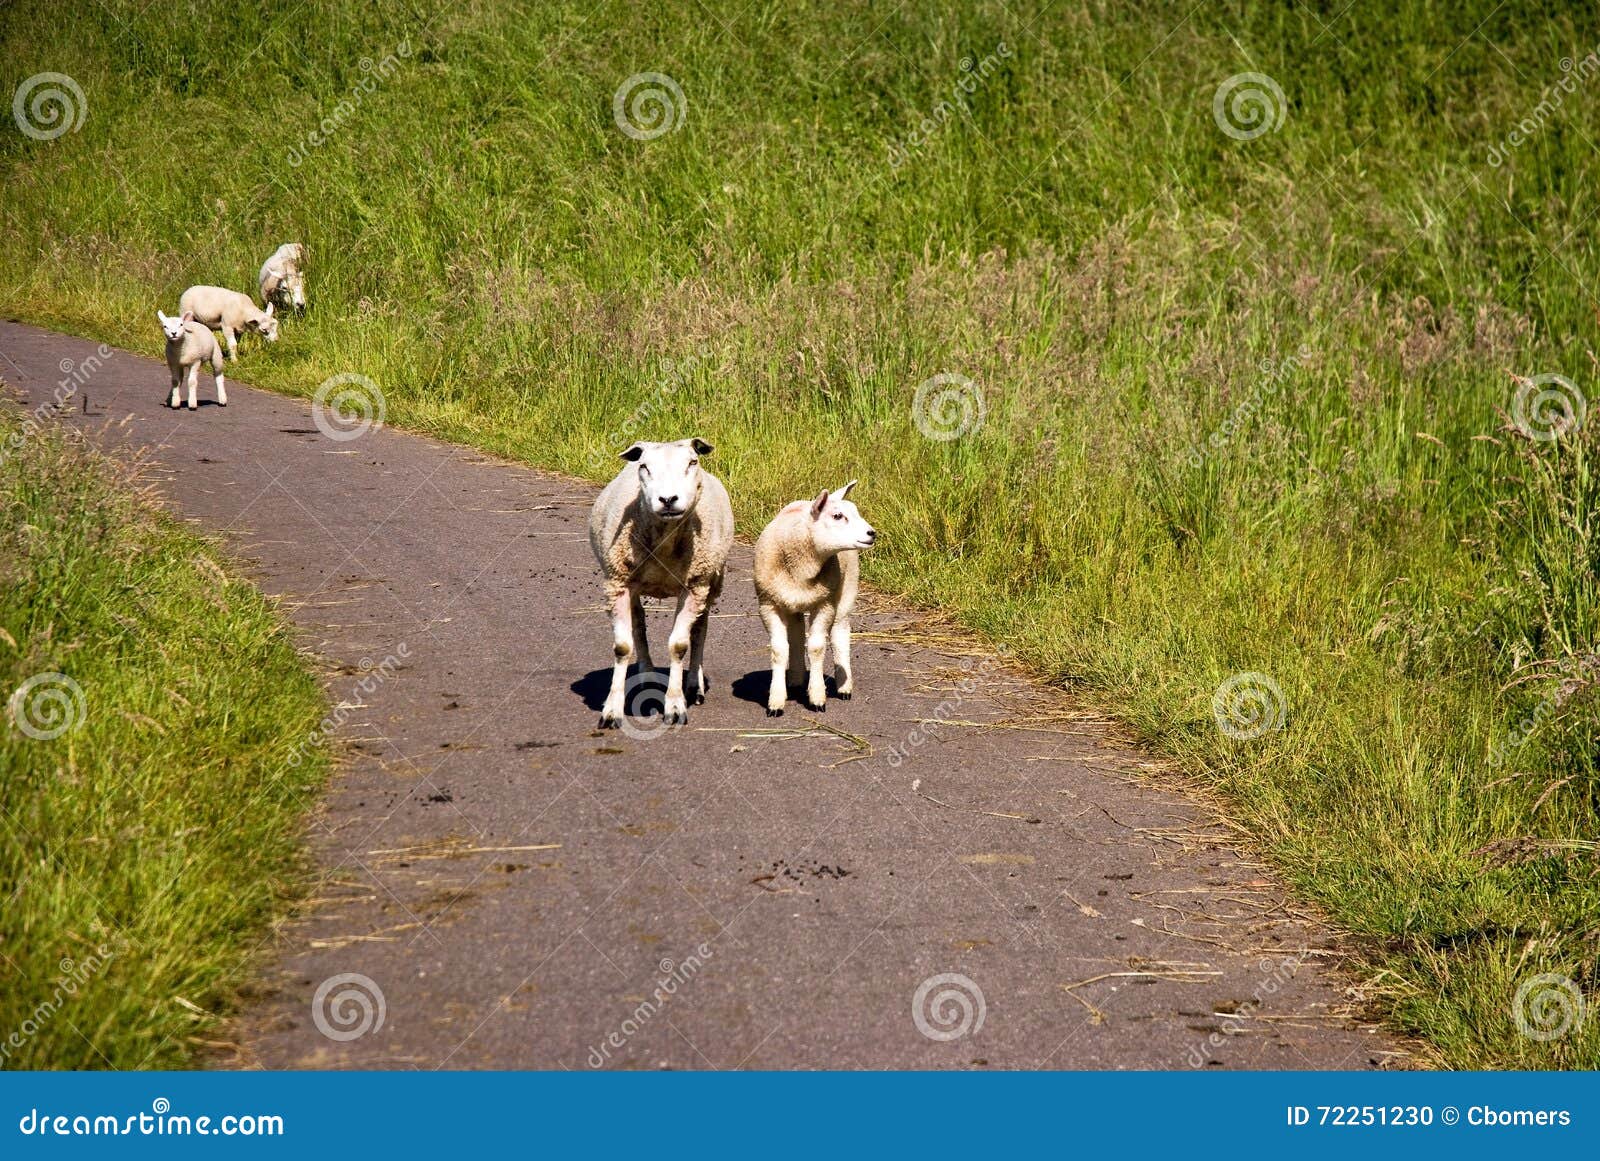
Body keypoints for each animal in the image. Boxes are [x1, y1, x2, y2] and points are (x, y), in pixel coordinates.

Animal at [588, 439, 734, 728]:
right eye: (644, 466)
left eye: (692, 462)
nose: (667, 499)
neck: (665, 541)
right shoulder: (617, 583)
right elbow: (622, 647)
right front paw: (611, 710)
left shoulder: (693, 585)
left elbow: (679, 645)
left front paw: (675, 706)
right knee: (638, 624)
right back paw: (646, 674)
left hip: (710, 581)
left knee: (699, 630)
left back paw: (694, 685)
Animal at [752, 480, 877, 716]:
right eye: (837, 516)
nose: (872, 533)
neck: (803, 568)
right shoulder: (768, 604)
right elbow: (779, 649)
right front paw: (776, 701)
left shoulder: (825, 604)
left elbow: (817, 647)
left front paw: (817, 697)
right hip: (791, 602)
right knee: (797, 633)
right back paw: (795, 679)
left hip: (846, 590)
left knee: (839, 633)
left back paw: (844, 686)